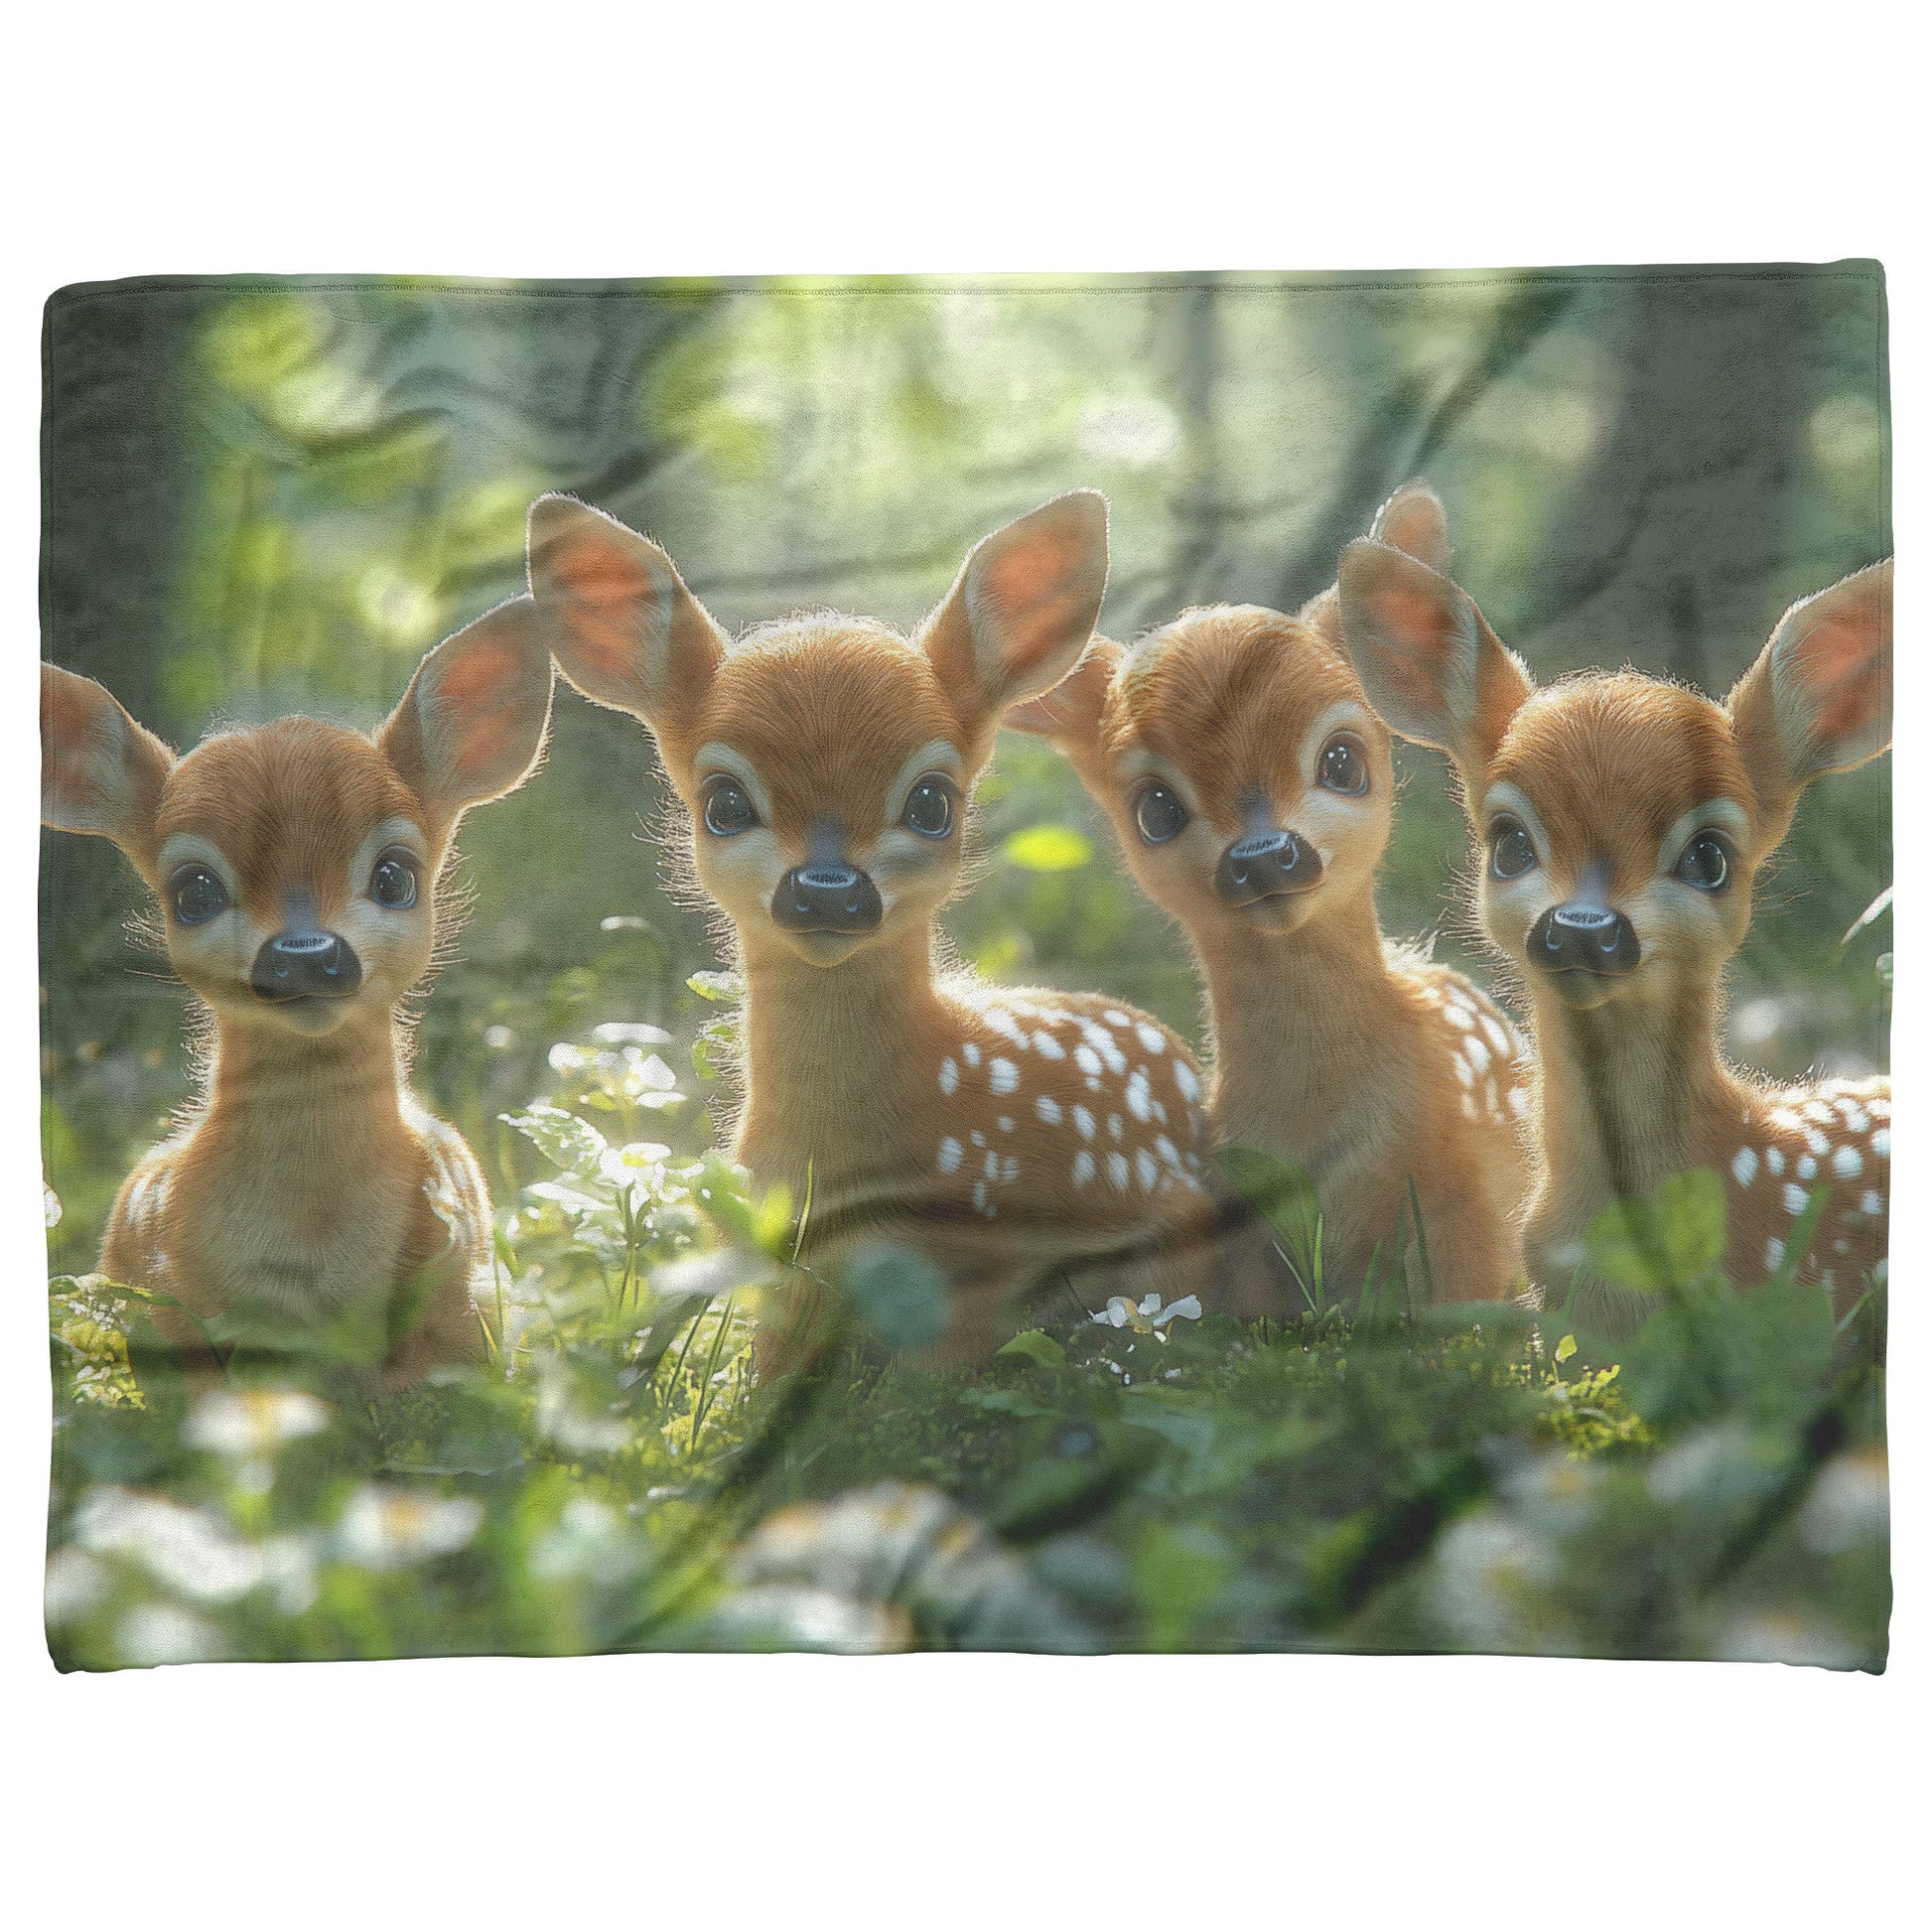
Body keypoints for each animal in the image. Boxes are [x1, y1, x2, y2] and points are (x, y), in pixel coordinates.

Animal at [40, 598, 554, 1382]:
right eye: (194, 891)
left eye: (394, 875)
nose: (305, 953)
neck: (311, 1249)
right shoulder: (178, 1312)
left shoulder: (460, 1304)